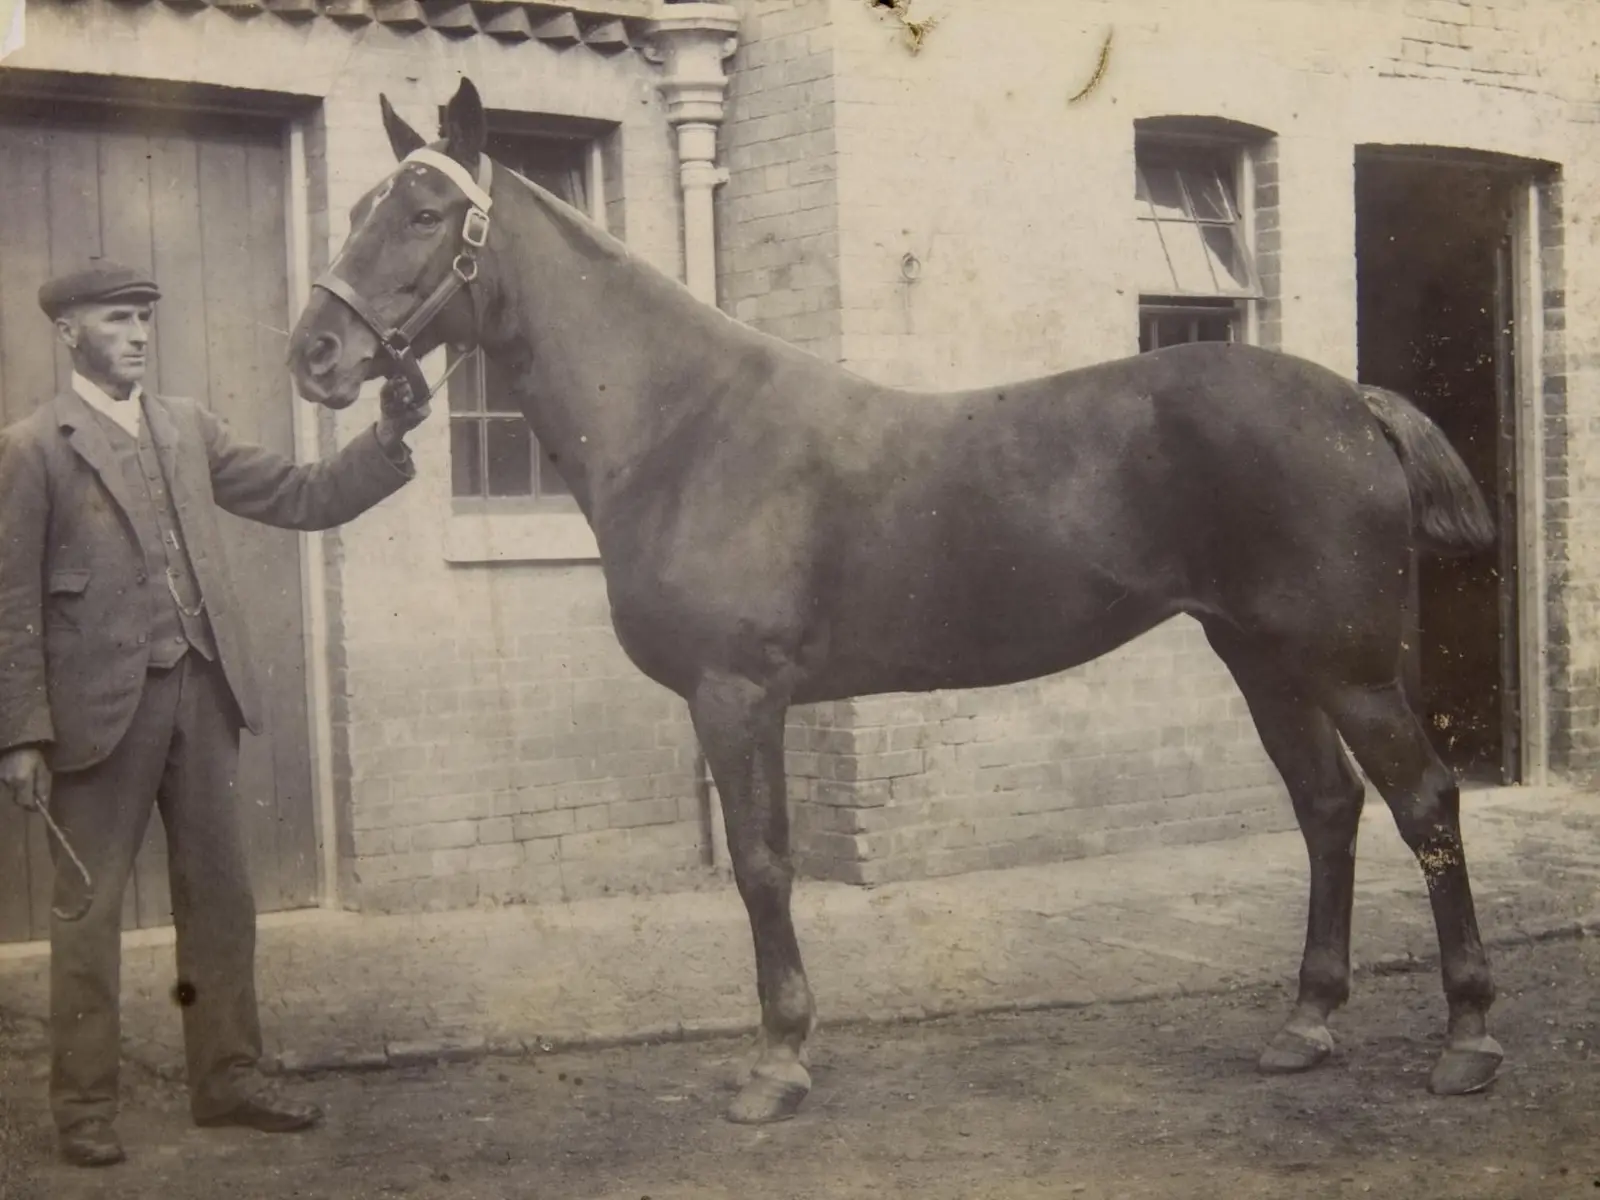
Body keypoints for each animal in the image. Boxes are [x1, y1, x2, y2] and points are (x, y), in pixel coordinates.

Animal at [286, 78, 1505, 1123]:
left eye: (426, 212)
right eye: (355, 208)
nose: (316, 353)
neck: (684, 425)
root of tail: (1352, 402)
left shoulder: (736, 696)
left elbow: (762, 865)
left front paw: (777, 1061)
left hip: (1345, 669)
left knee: (1424, 804)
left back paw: (1468, 1040)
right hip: (1261, 657)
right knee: (1328, 806)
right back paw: (1306, 1023)